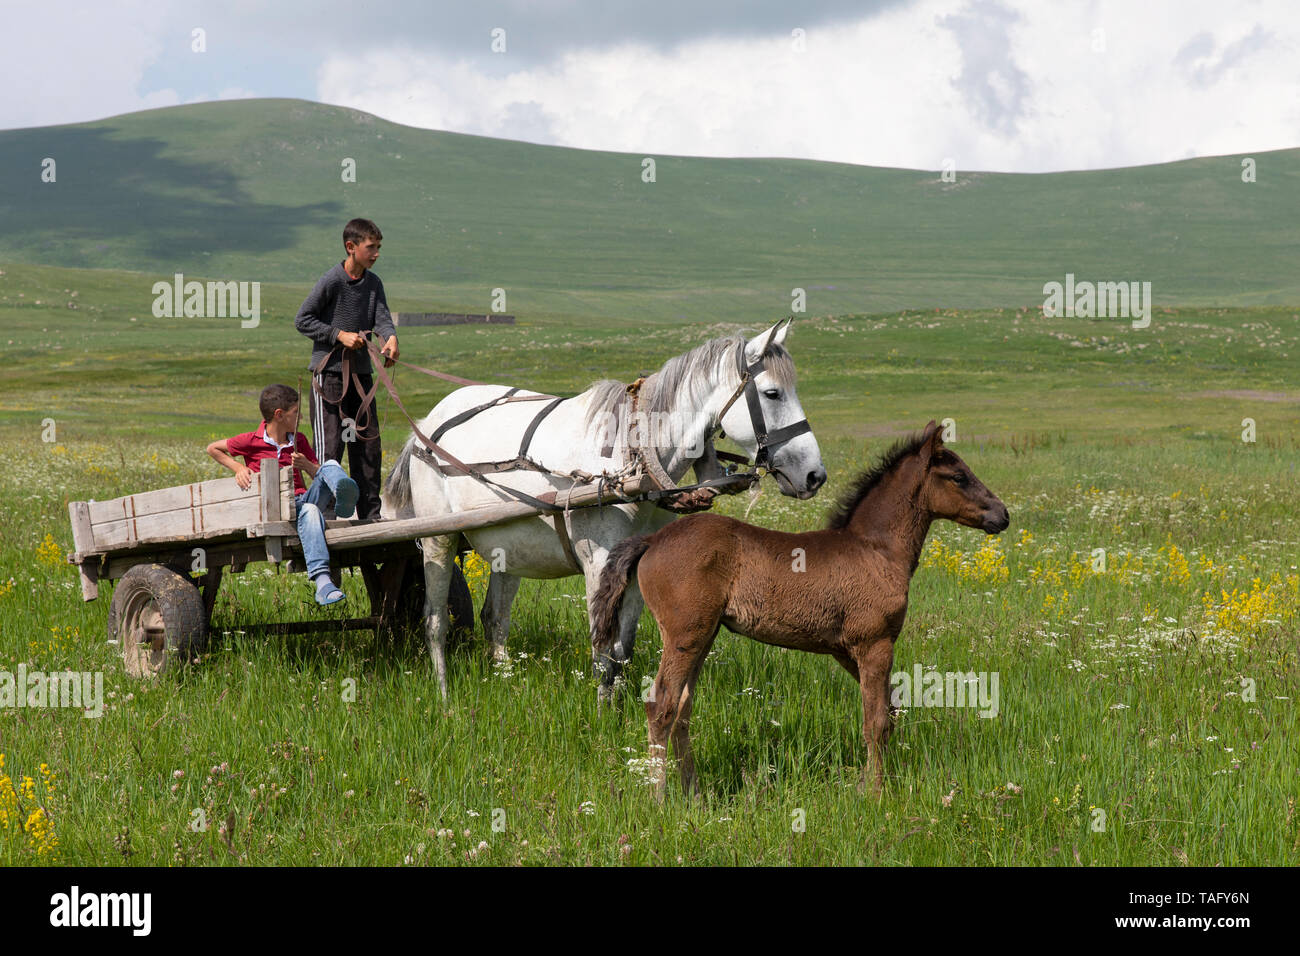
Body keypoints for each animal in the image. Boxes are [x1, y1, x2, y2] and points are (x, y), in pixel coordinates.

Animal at [381, 319, 827, 700]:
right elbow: (601, 650)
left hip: (509, 547)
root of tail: (426, 425)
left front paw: (620, 710)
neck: (632, 456)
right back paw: (444, 698)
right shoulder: (600, 563)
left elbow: (623, 649)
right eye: (772, 393)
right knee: (435, 621)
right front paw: (600, 718)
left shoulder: (635, 563)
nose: (815, 475)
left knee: (496, 618)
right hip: (438, 540)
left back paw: (504, 682)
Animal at [590, 420, 1009, 799]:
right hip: (685, 635)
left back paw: (694, 793)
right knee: (660, 705)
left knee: (681, 709)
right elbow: (876, 721)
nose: (1002, 515)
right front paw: (876, 794)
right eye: (958, 477)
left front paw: (869, 783)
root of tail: (653, 539)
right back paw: (660, 798)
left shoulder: (846, 649)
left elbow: (888, 710)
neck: (876, 550)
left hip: (702, 637)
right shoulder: (874, 643)